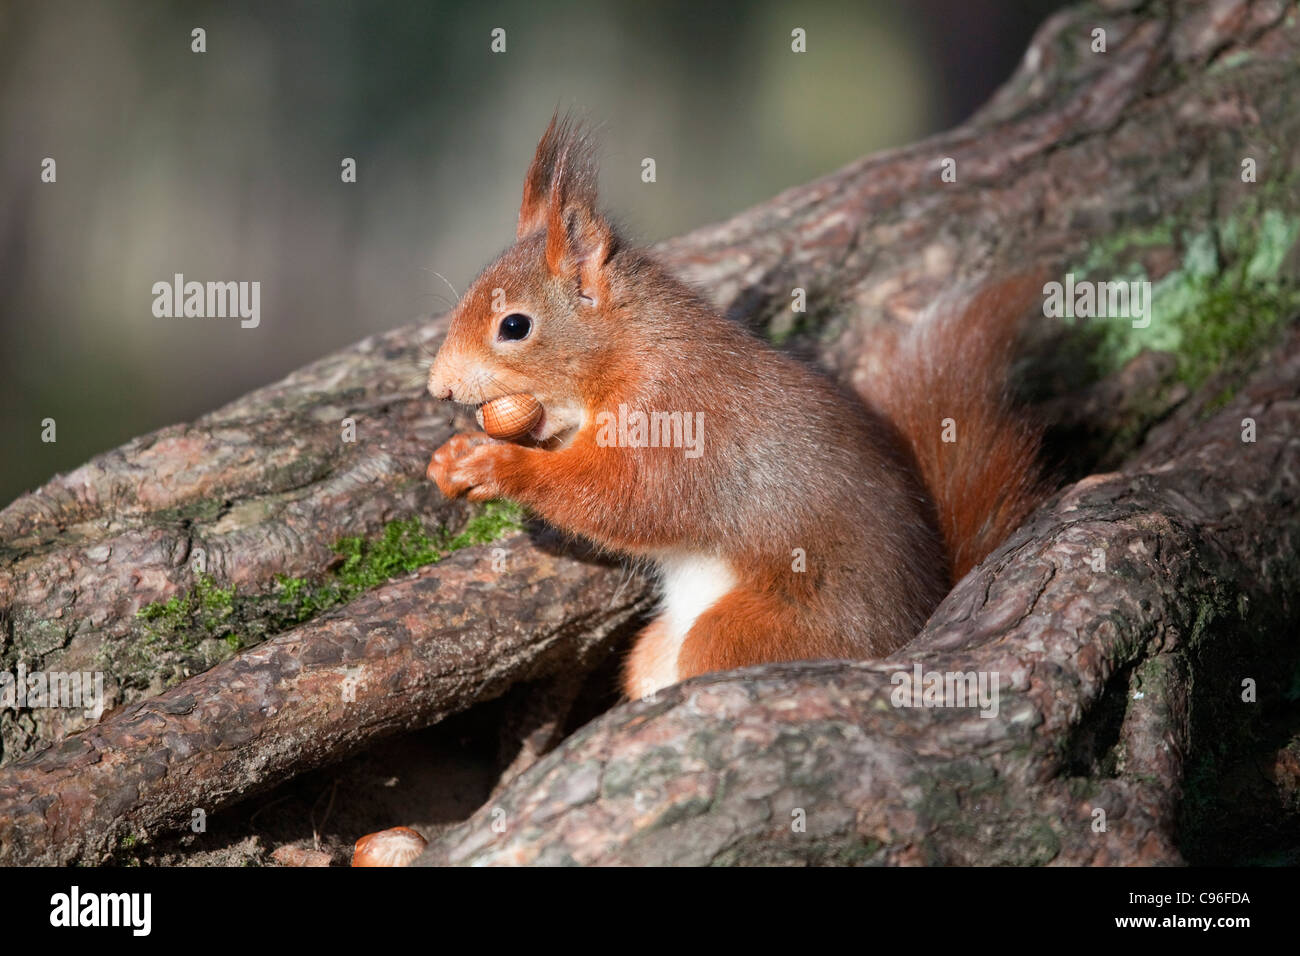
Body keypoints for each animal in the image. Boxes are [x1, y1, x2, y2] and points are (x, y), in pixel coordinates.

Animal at [425, 114, 1045, 700]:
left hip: (751, 630)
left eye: (514, 326)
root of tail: (911, 625)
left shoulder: (677, 420)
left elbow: (621, 499)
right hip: (656, 649)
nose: (439, 388)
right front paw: (451, 456)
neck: (633, 349)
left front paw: (494, 464)